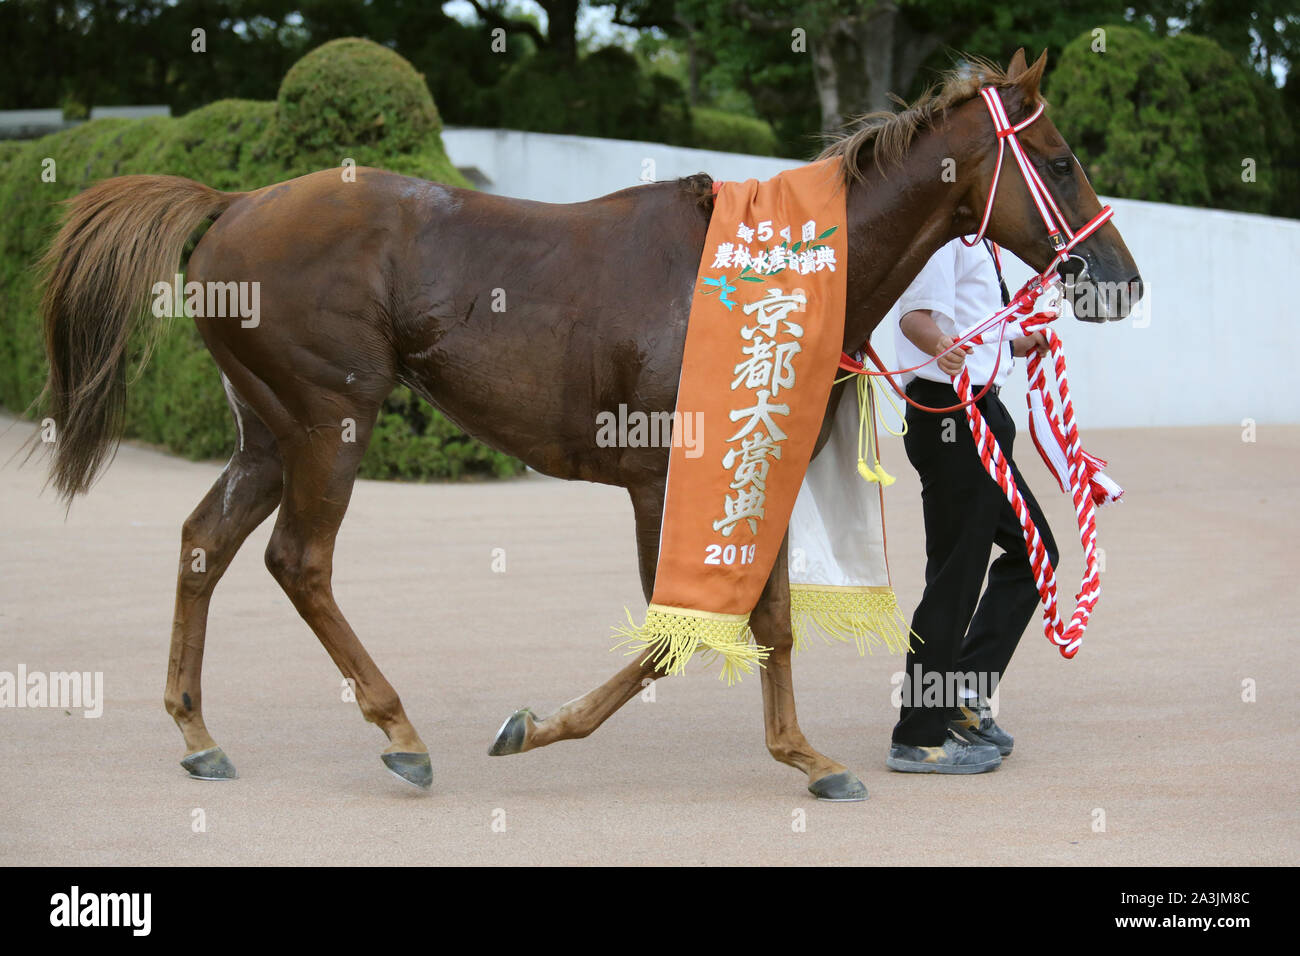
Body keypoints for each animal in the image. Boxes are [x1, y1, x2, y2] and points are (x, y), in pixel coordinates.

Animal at [35, 50, 1140, 798]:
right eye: (1060, 158)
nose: (1119, 276)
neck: (776, 274)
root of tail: (229, 206)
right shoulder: (664, 479)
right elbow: (675, 631)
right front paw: (535, 725)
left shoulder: (753, 466)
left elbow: (770, 618)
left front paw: (808, 756)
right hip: (327, 419)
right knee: (297, 561)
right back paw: (399, 731)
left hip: (269, 429)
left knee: (203, 542)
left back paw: (198, 732)